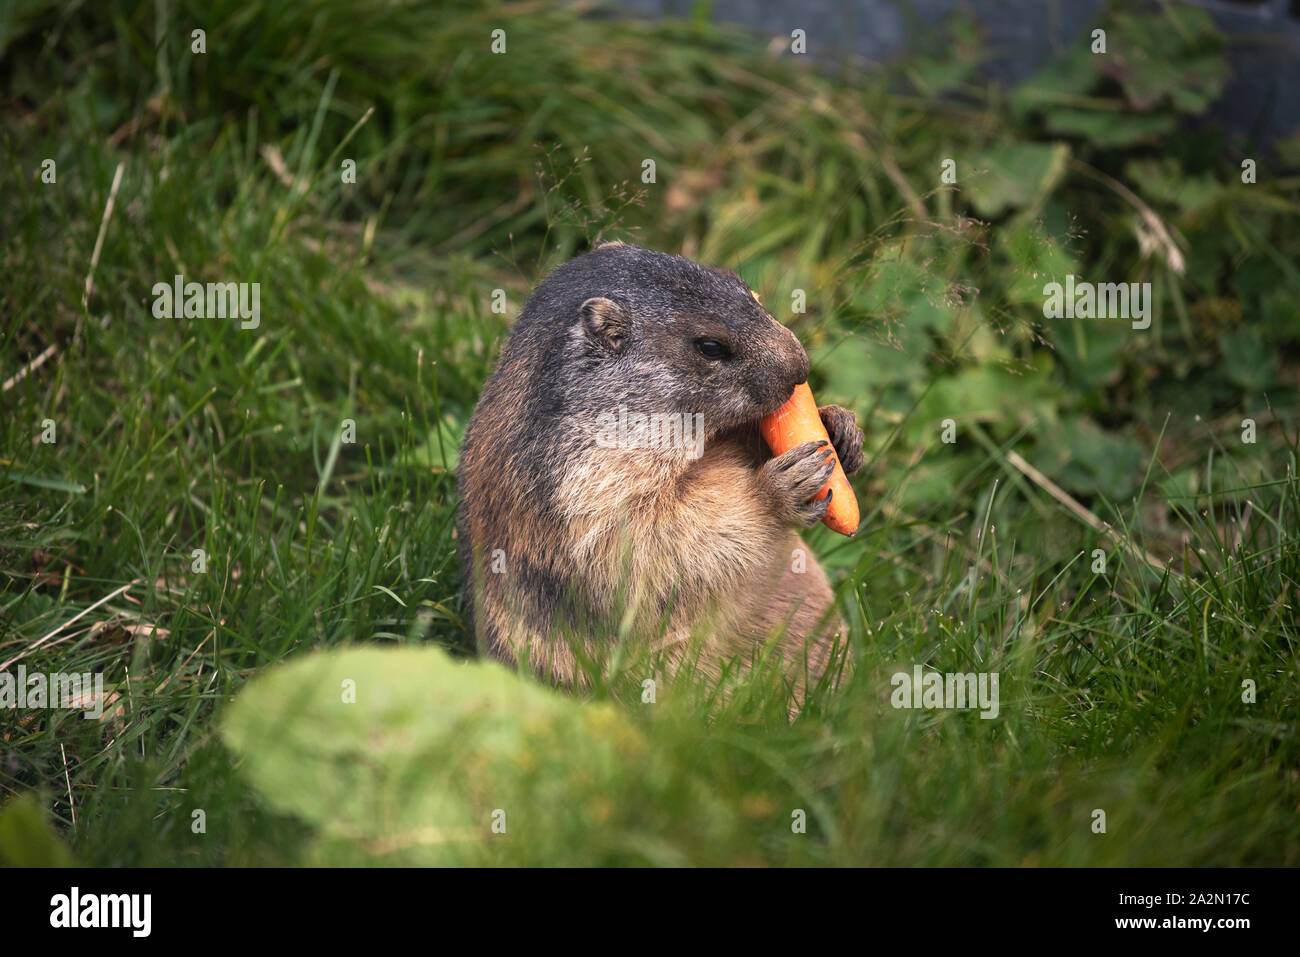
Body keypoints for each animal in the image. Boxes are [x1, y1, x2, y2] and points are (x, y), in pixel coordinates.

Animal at [457, 241, 864, 703]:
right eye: (709, 346)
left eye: (748, 291)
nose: (801, 367)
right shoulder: (584, 473)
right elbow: (641, 540)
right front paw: (780, 486)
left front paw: (839, 429)